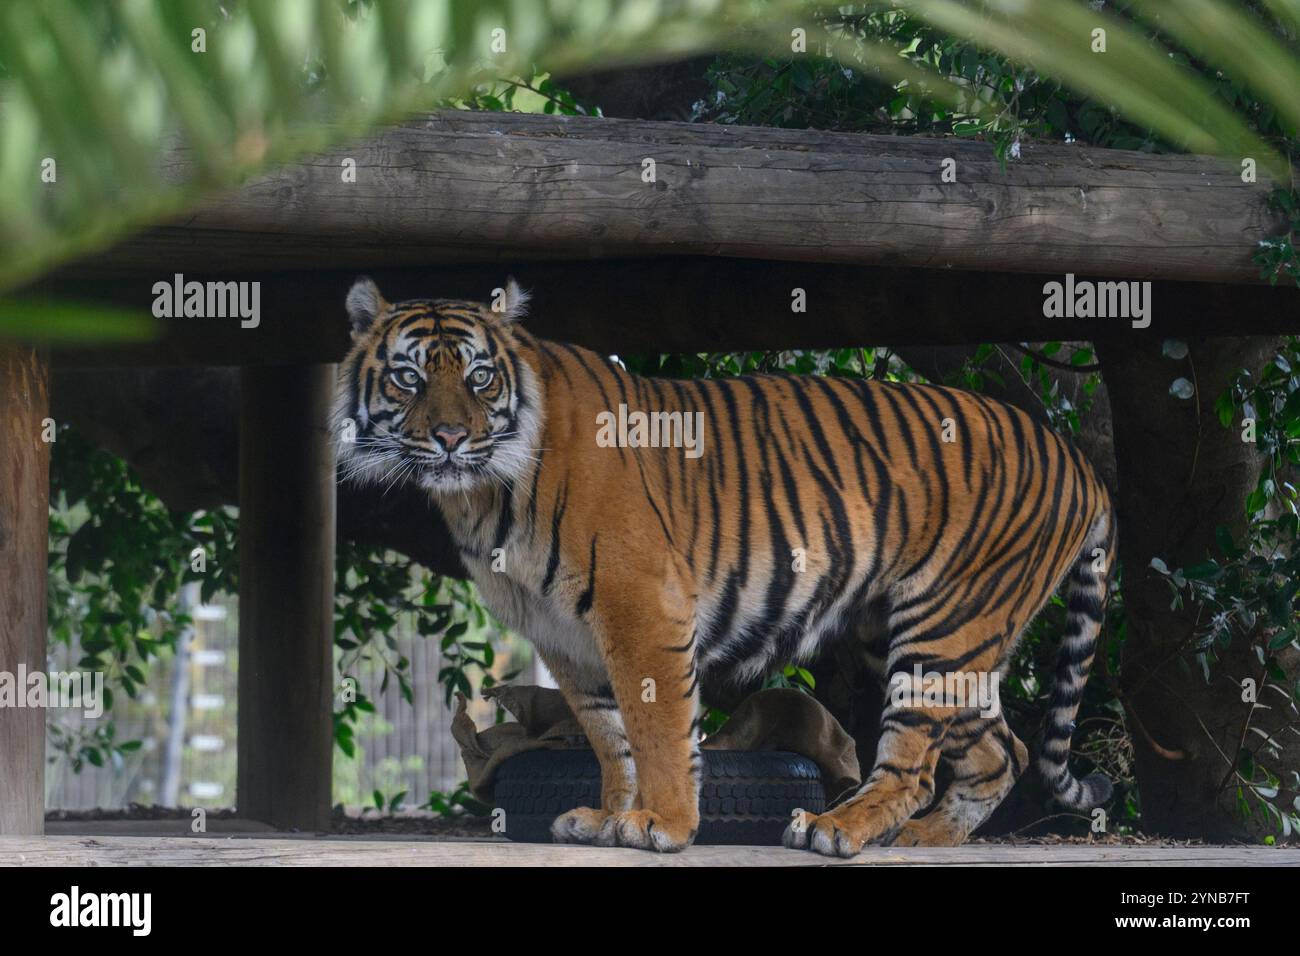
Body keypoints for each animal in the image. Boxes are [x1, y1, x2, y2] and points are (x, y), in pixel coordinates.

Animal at [333, 276, 1116, 856]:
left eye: (480, 378)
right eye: (407, 378)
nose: (449, 437)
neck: (481, 493)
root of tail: (1077, 460)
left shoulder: (641, 604)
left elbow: (657, 727)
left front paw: (663, 824)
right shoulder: (561, 633)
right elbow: (609, 736)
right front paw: (607, 816)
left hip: (941, 628)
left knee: (914, 766)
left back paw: (835, 829)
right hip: (932, 639)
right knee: (1005, 752)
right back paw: (923, 838)